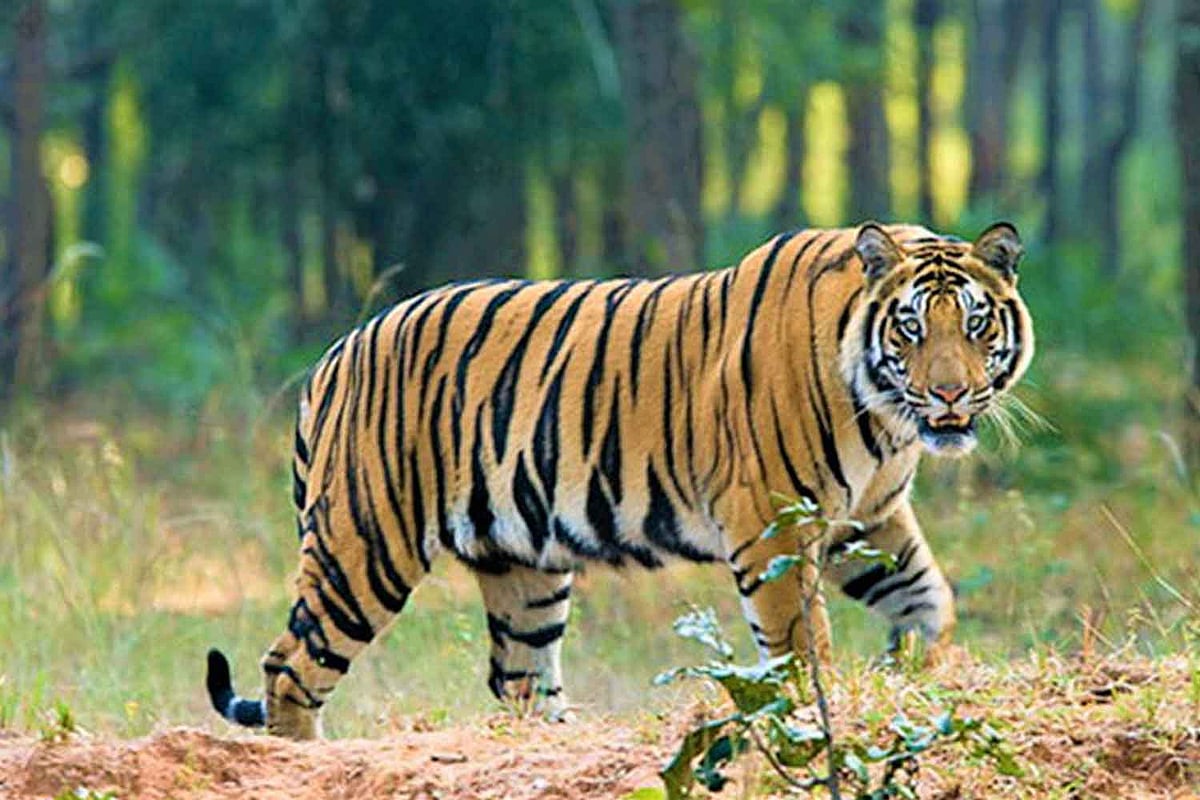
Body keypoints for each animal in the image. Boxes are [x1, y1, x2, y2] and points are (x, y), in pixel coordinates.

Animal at [204, 221, 1033, 739]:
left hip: (522, 568)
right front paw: (823, 714)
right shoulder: (773, 524)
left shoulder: (867, 520)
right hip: (364, 548)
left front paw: (915, 669)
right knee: (289, 668)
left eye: (977, 325)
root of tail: (335, 354)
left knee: (519, 679)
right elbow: (803, 648)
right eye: (912, 328)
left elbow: (929, 598)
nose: (951, 395)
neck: (886, 419)